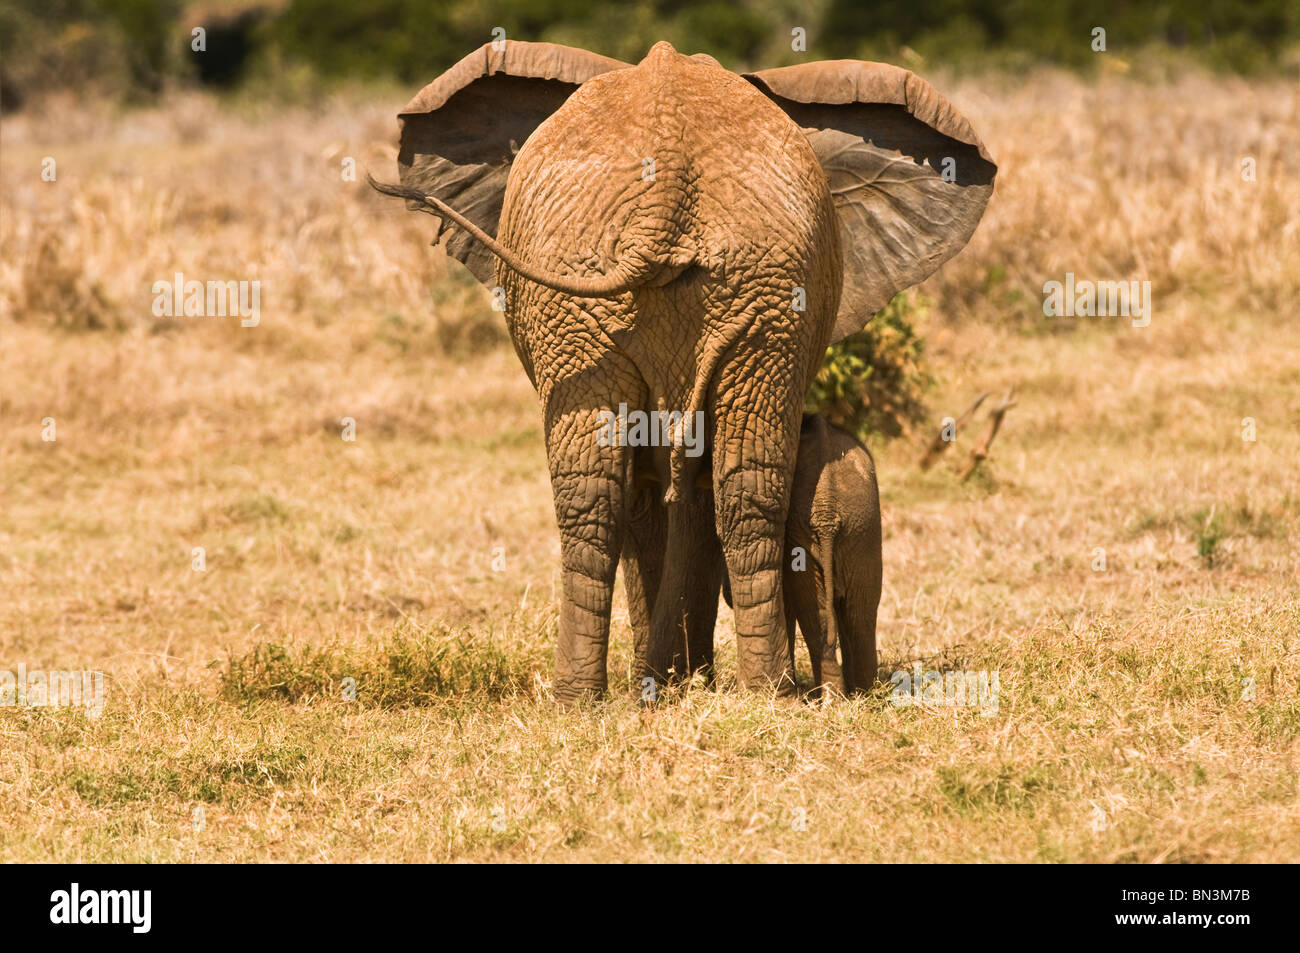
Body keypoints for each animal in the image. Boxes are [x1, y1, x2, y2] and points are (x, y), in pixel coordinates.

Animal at [373, 40, 995, 704]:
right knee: (667, 489)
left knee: (654, 490)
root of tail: (667, 174)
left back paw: (679, 695)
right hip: (644, 291)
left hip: (716, 287)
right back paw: (701, 691)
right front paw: (672, 680)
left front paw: (670, 681)